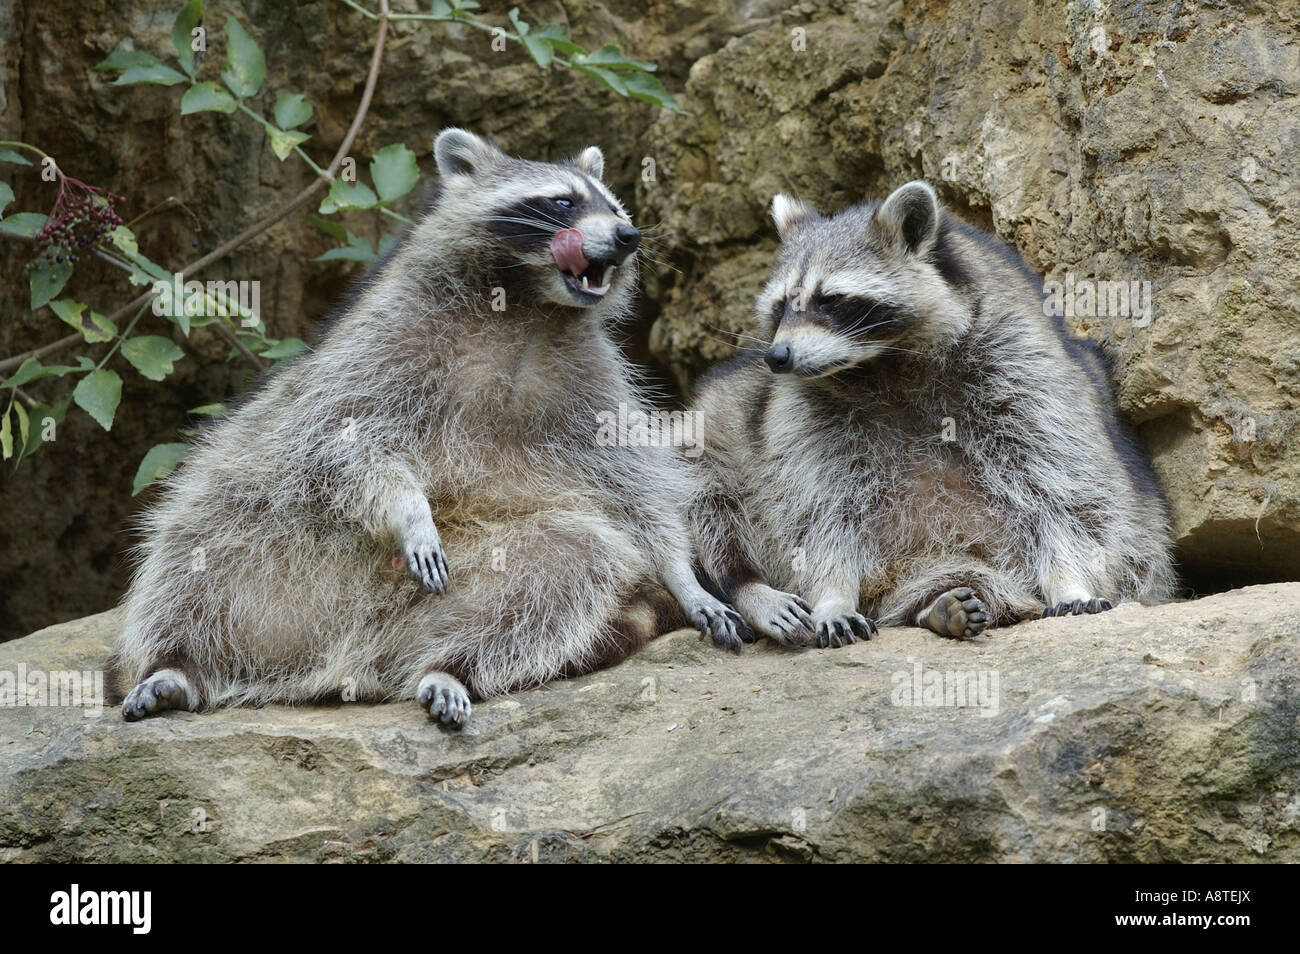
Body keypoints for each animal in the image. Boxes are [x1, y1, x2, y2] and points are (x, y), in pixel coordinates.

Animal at [110, 128, 749, 726]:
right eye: (563, 201)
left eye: (616, 207)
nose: (627, 236)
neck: (525, 304)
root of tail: (338, 659)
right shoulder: (387, 339)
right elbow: (343, 439)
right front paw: (409, 508)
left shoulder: (592, 375)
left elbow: (634, 486)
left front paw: (683, 575)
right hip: (258, 530)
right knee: (193, 551)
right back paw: (178, 663)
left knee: (564, 570)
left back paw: (450, 666)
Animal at [689, 181, 1177, 647]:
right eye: (781, 305)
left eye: (830, 300)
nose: (777, 357)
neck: (884, 365)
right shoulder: (805, 416)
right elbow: (818, 511)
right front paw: (832, 593)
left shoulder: (1027, 372)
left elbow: (1066, 492)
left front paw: (1070, 580)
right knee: (708, 492)